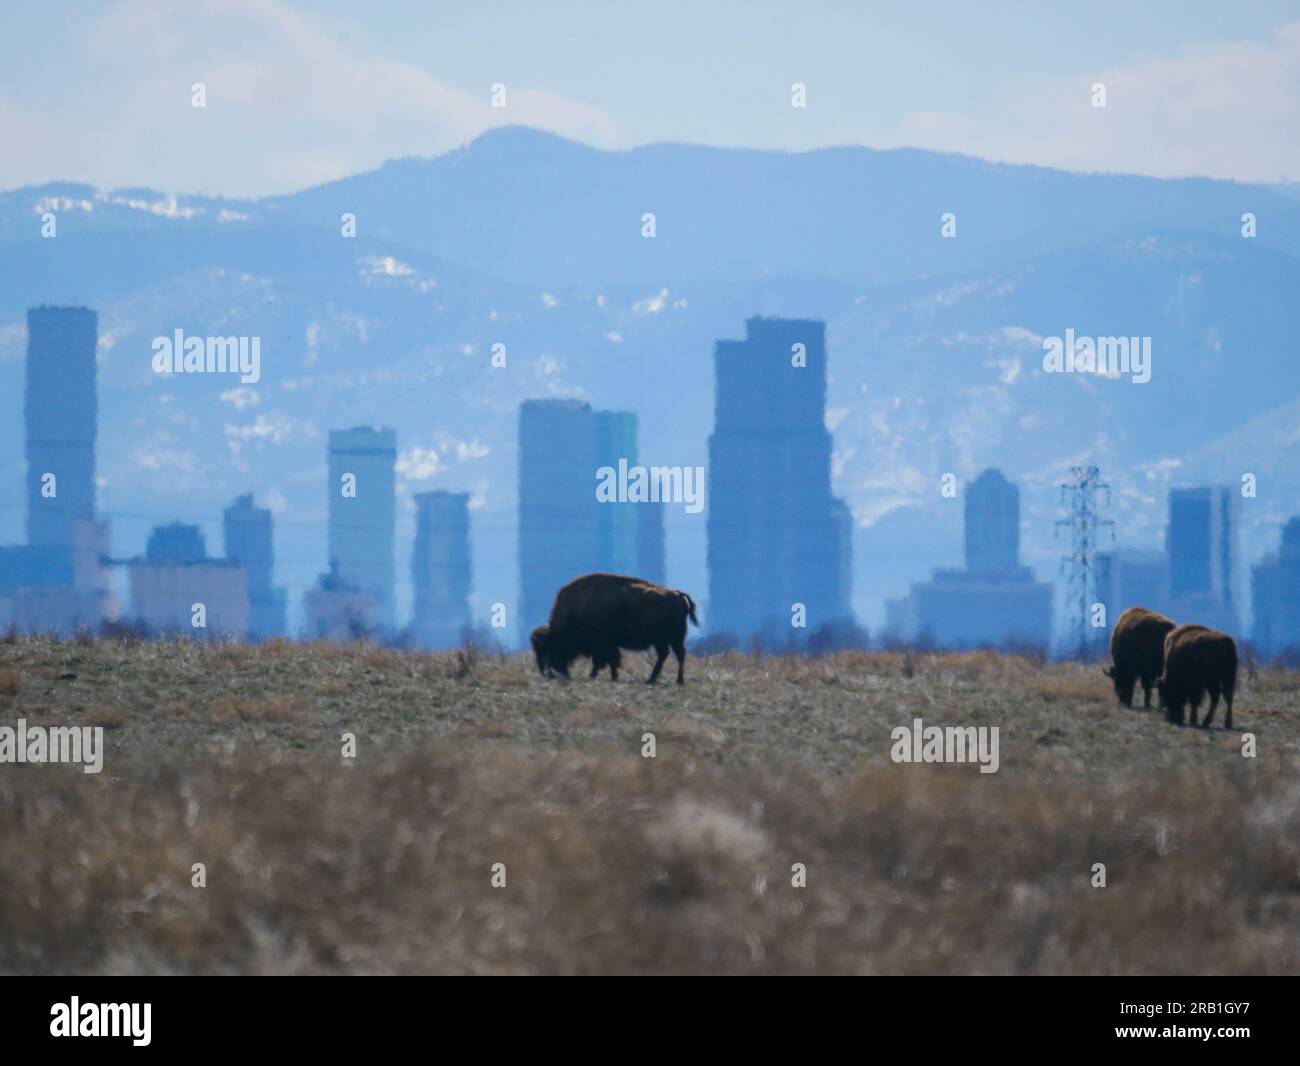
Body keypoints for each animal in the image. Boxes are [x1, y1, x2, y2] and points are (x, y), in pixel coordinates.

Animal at [532, 572, 699, 684]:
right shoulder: (609, 645)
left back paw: (663, 680)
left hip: (667, 639)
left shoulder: (601, 644)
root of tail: (678, 594)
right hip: (671, 639)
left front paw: (594, 675)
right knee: (674, 654)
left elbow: (602, 660)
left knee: (672, 655)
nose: (549, 674)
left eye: (548, 648)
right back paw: (663, 680)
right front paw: (613, 676)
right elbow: (611, 660)